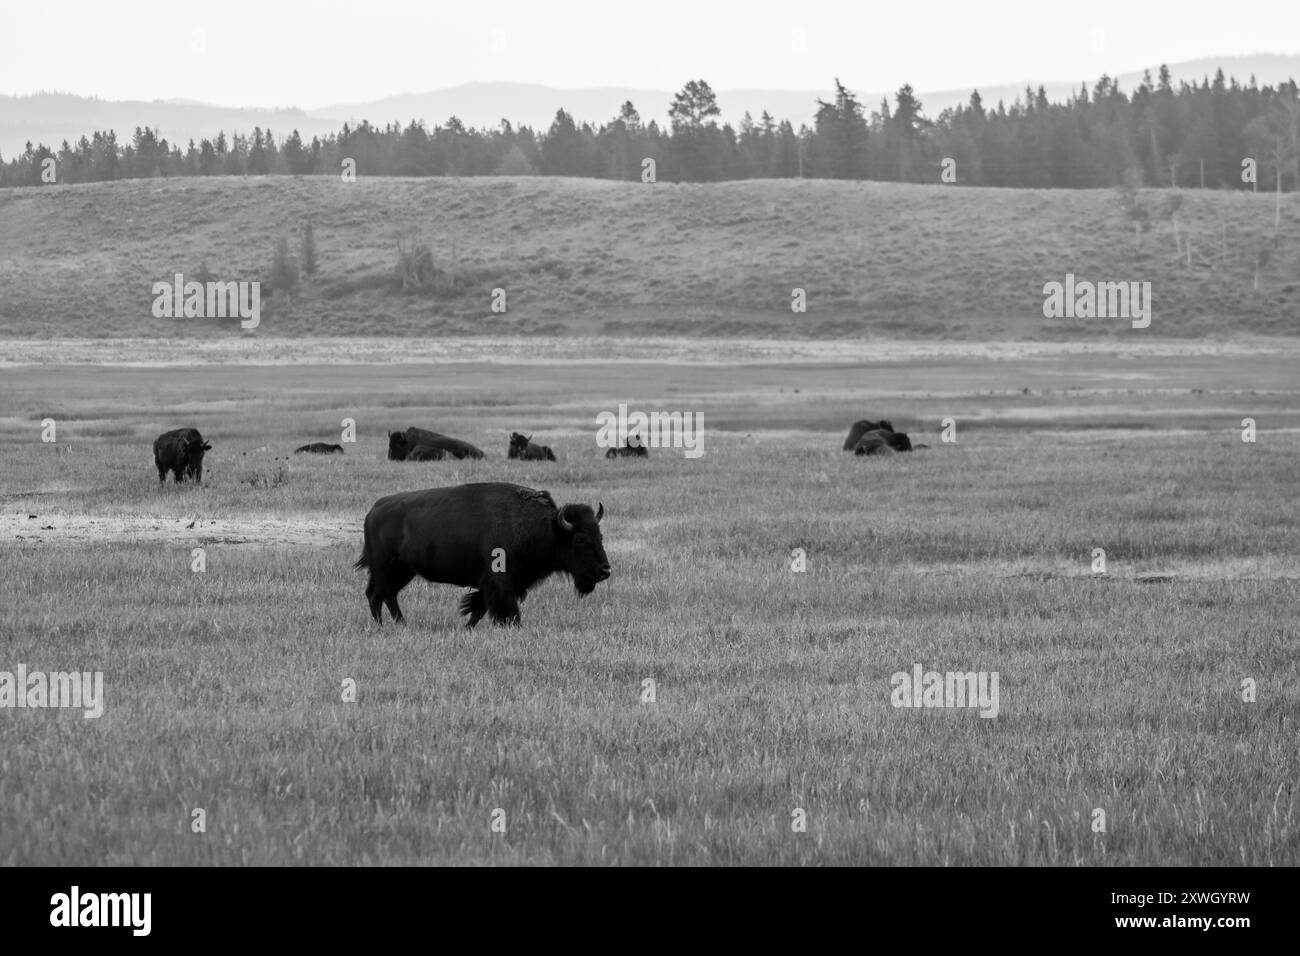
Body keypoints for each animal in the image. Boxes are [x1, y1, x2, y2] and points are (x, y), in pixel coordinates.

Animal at [355, 481, 610, 627]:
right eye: (580, 539)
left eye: (600, 535)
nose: (605, 571)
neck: (544, 527)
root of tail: (374, 510)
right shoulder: (499, 582)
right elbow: (503, 610)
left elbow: (478, 608)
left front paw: (468, 627)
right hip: (384, 568)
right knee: (375, 594)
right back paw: (381, 627)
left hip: (404, 571)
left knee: (388, 595)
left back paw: (401, 623)